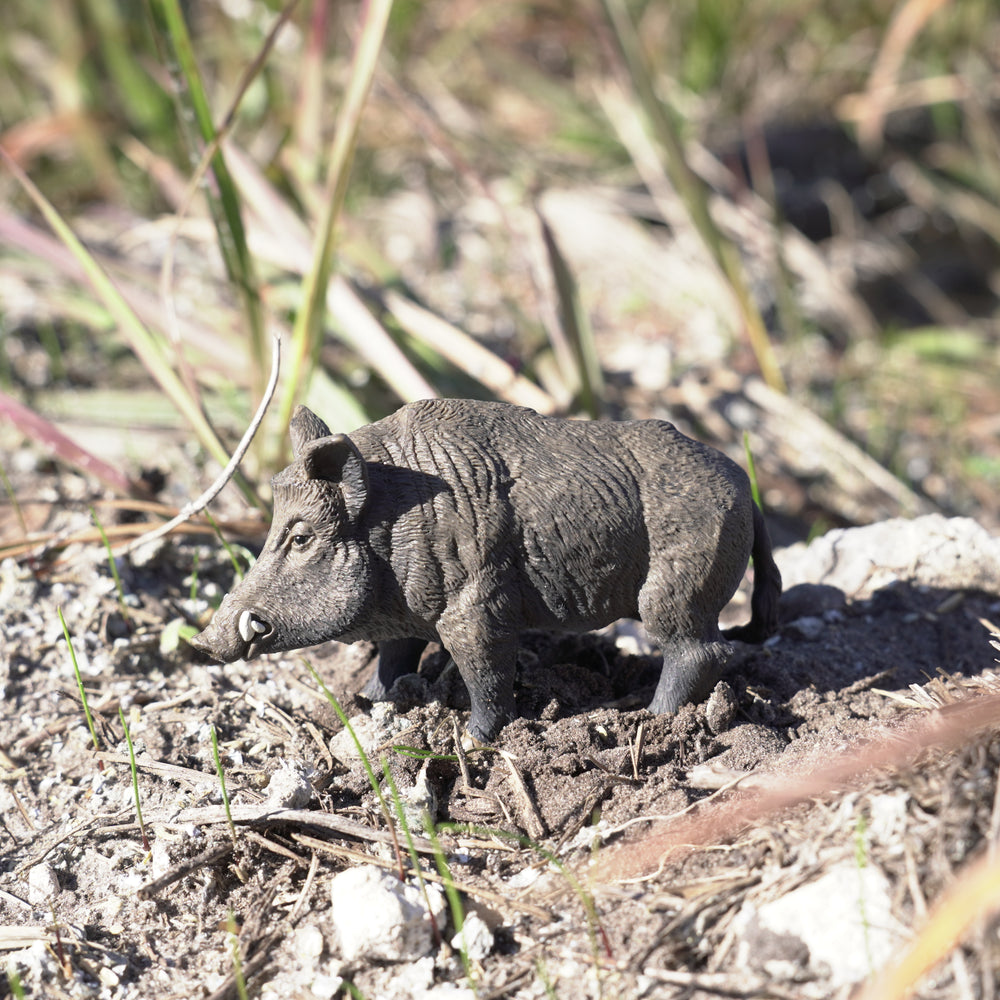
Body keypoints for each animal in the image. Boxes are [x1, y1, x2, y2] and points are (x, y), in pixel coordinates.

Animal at [191, 399, 781, 741]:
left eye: (300, 537)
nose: (203, 642)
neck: (392, 523)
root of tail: (745, 488)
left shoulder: (475, 611)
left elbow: (487, 678)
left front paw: (473, 741)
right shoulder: (406, 616)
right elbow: (393, 658)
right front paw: (373, 705)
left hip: (677, 588)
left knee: (701, 650)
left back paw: (651, 718)